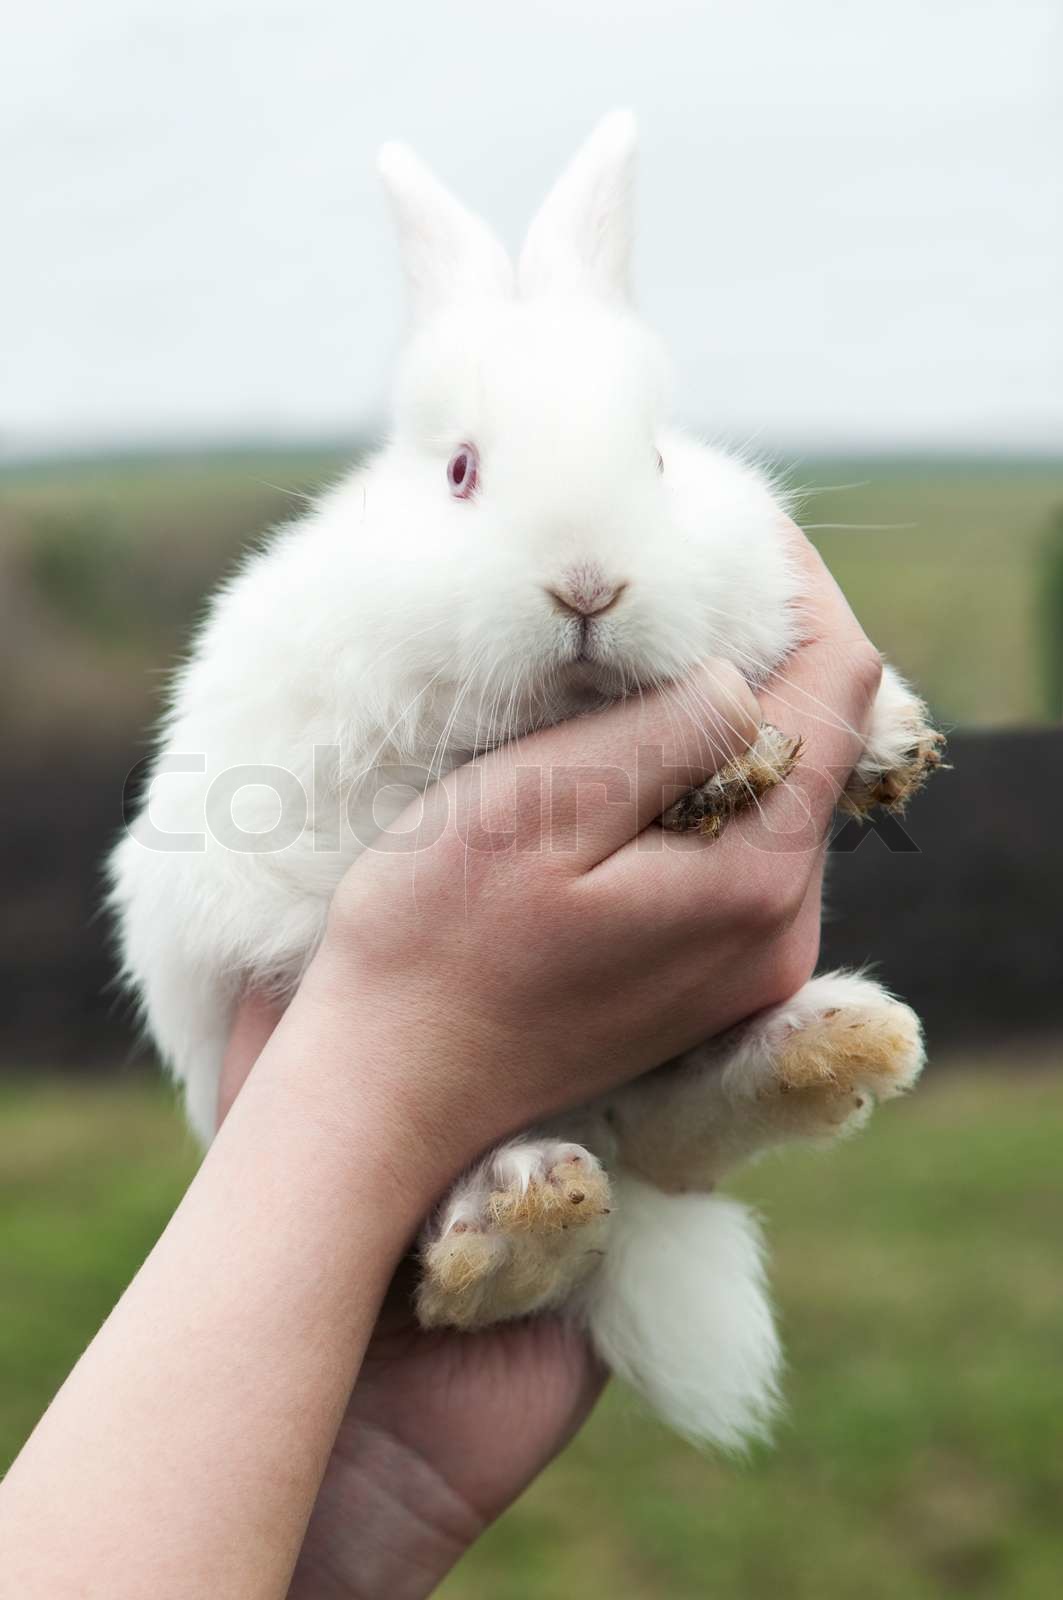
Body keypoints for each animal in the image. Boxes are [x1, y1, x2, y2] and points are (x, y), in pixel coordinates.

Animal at [109, 110, 942, 1451]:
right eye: (460, 471)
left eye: (655, 461)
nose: (586, 585)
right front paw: (725, 770)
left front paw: (886, 744)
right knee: (473, 1221)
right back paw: (511, 1225)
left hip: (652, 1098)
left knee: (666, 1120)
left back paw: (830, 1047)